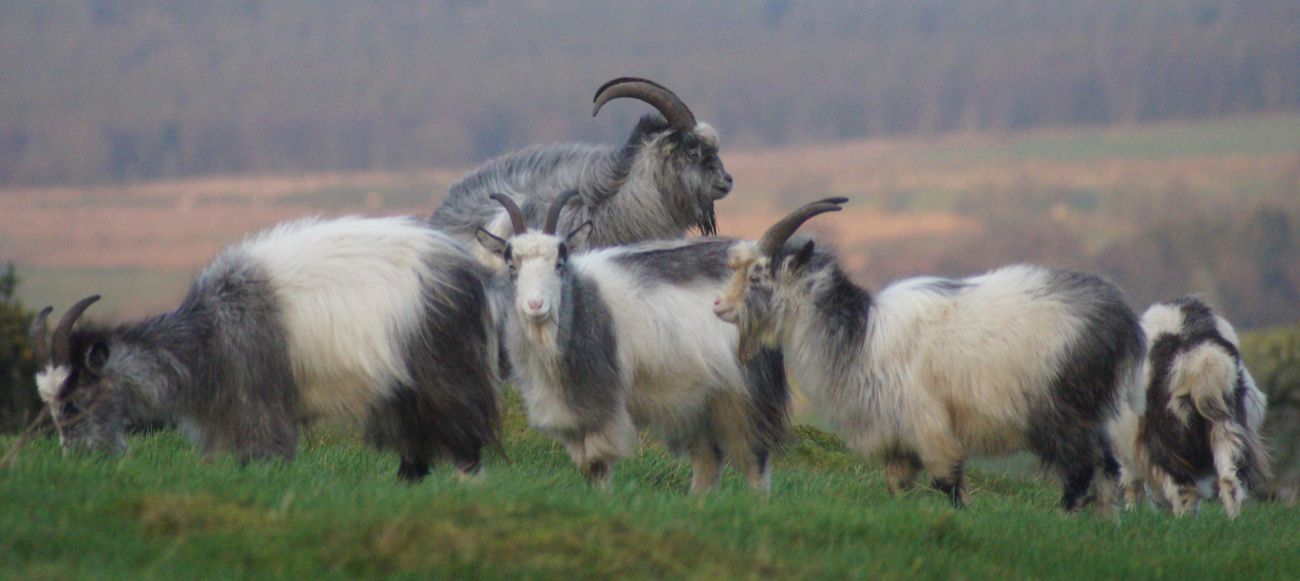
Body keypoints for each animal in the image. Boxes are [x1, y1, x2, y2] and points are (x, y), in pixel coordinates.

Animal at [30, 216, 501, 481]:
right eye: (50, 404)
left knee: (464, 440)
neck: (212, 333)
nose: (79, 460)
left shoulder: (257, 401)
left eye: (74, 401)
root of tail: (468, 273)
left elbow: (266, 455)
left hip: (443, 371)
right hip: (402, 391)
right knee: (416, 445)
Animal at [475, 192, 787, 492]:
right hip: (699, 402)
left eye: (559, 264)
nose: (536, 305)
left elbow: (597, 465)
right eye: (511, 266)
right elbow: (586, 466)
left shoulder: (601, 402)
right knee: (708, 460)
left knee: (756, 456)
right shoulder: (571, 413)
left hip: (746, 391)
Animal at [713, 198, 1145, 512]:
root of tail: (1122, 318)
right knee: (1107, 471)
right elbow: (899, 485)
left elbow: (947, 482)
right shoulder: (898, 438)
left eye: (756, 275)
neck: (860, 335)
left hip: (1060, 411)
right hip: (1090, 412)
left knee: (1080, 471)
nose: (718, 305)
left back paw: (1065, 517)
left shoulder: (927, 425)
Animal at [1111, 297, 1269, 518]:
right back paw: (1231, 520)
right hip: (1227, 428)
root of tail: (1202, 359)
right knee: (1229, 482)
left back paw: (1180, 519)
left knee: (1182, 488)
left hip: (1170, 441)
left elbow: (1132, 484)